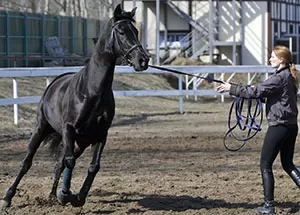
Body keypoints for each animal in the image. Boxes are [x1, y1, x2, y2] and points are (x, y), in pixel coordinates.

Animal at [0, 4, 149, 209]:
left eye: (135, 30)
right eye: (121, 31)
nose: (143, 60)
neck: (91, 90)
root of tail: (54, 83)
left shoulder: (101, 135)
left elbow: (93, 167)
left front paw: (77, 197)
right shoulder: (69, 129)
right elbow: (69, 162)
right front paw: (65, 195)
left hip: (81, 142)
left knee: (59, 164)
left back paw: (51, 196)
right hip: (41, 130)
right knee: (27, 163)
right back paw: (8, 198)